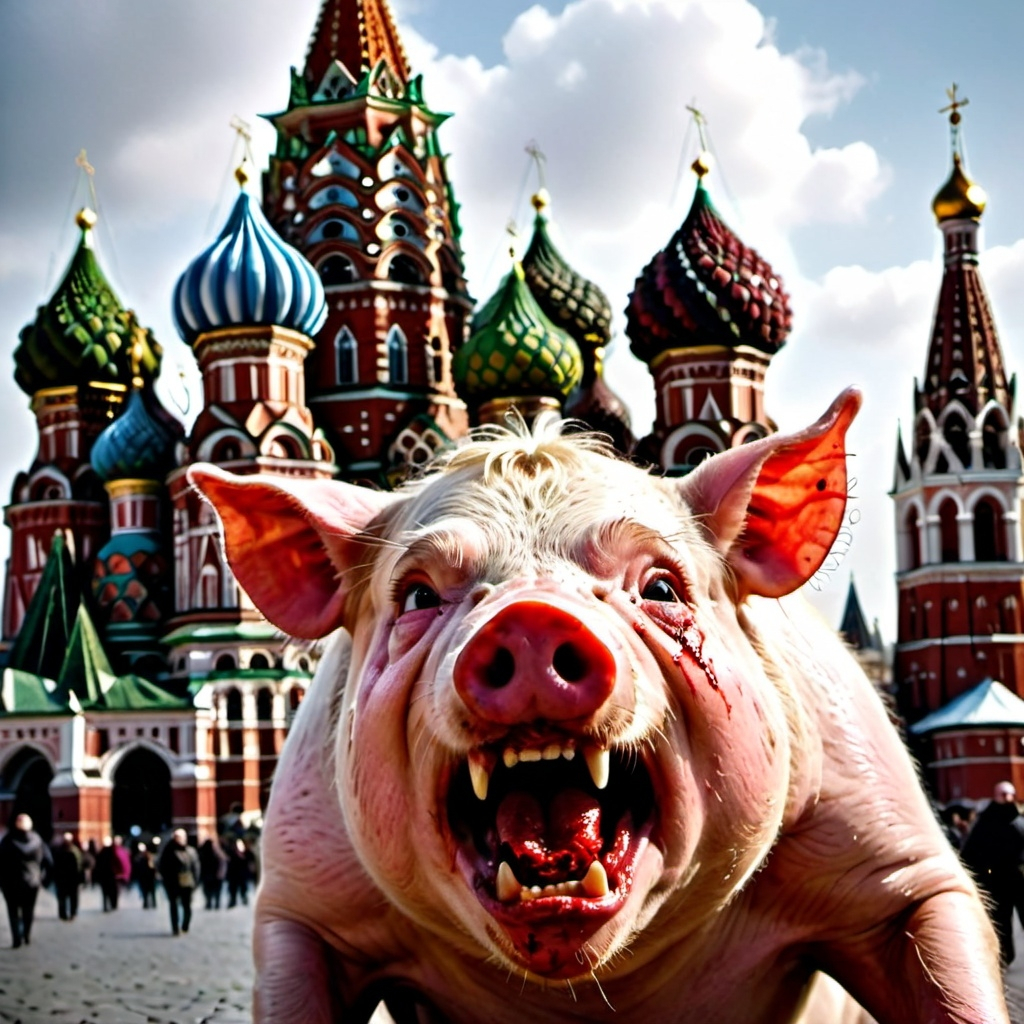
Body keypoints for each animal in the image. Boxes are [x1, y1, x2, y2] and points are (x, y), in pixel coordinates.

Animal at [189, 388, 1007, 1024]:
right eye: (418, 595)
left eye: (661, 586)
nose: (530, 620)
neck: (602, 994)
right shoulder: (302, 897)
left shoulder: (893, 855)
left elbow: (944, 952)